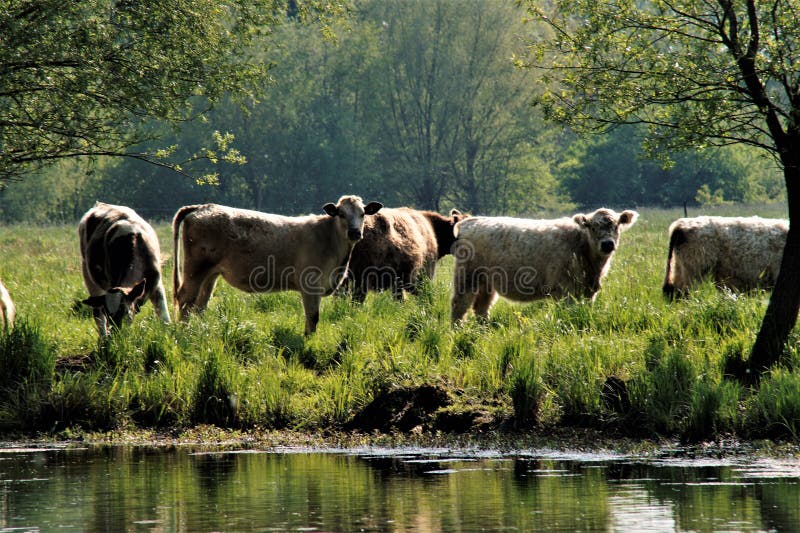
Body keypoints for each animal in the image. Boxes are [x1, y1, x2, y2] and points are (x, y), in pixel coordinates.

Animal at [79, 202, 171, 336]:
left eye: (125, 312)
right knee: (98, 314)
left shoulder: (156, 284)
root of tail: (100, 204)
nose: (117, 334)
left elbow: (164, 315)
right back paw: (103, 336)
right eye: (109, 314)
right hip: (88, 274)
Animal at [172, 196, 382, 335]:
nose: (355, 232)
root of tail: (202, 206)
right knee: (185, 300)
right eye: (341, 214)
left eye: (363, 214)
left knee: (200, 305)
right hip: (195, 269)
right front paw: (309, 342)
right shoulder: (310, 285)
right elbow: (313, 317)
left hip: (211, 273)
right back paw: (183, 334)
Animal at [451, 208, 638, 323]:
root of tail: (469, 221)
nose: (607, 244)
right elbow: (568, 315)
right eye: (592, 227)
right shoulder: (564, 291)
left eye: (616, 225)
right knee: (459, 305)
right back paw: (458, 331)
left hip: (486, 282)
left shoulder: (588, 292)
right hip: (467, 277)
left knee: (481, 307)